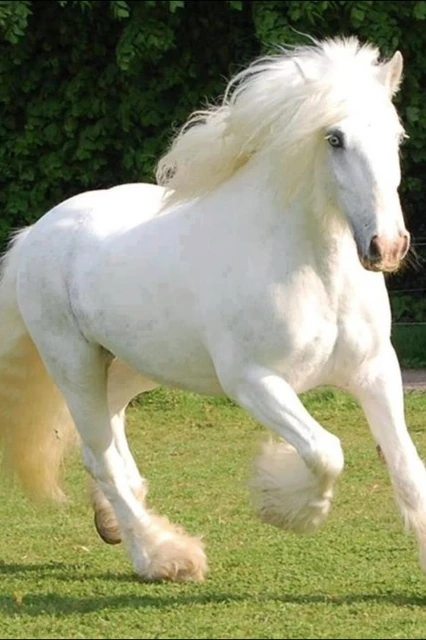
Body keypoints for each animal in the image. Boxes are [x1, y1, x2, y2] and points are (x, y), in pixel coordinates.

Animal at [0, 35, 422, 583]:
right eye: (334, 138)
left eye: (395, 136)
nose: (387, 247)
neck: (313, 271)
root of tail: (33, 234)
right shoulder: (253, 382)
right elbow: (326, 452)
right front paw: (281, 504)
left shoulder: (376, 372)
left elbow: (409, 472)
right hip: (74, 365)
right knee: (103, 456)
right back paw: (163, 557)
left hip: (133, 365)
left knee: (104, 444)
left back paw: (115, 525)